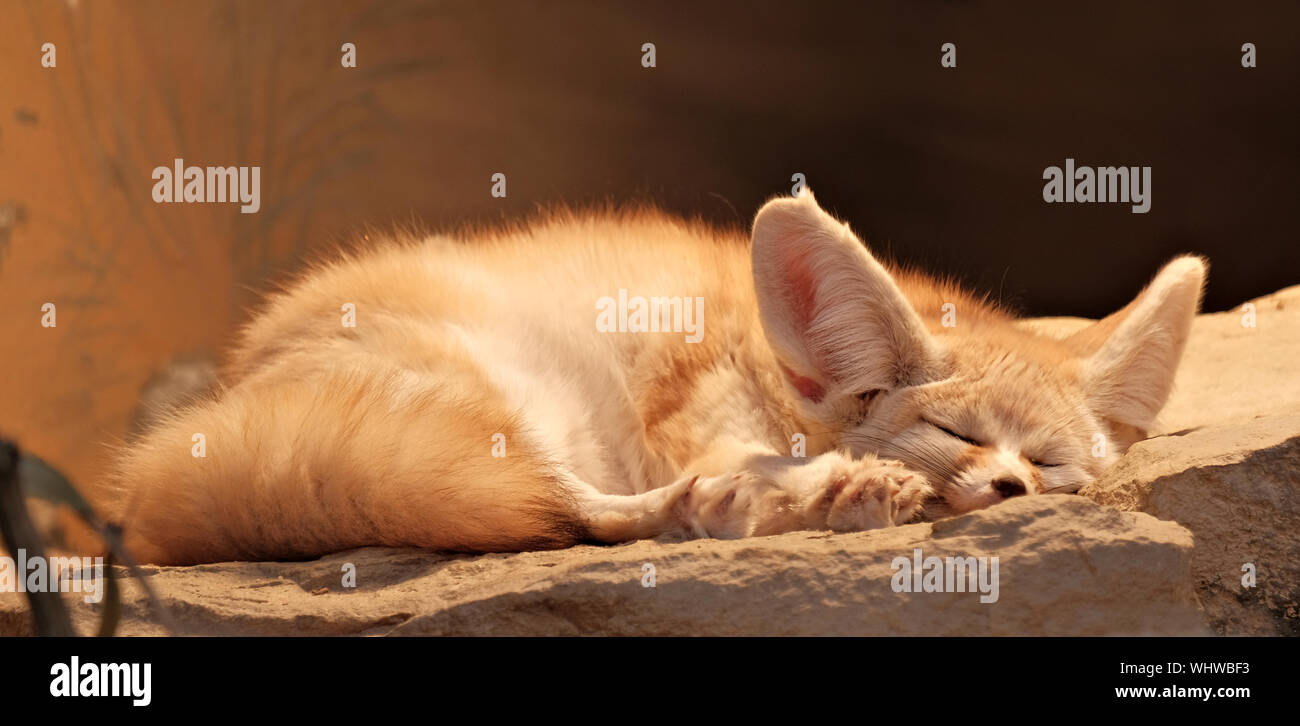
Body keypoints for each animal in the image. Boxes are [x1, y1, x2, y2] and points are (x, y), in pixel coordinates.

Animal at [108, 190, 1206, 565]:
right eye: (958, 434)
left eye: (1052, 462)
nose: (1013, 488)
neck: (774, 375)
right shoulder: (694, 407)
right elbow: (731, 469)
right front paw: (837, 488)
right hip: (507, 404)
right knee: (584, 508)